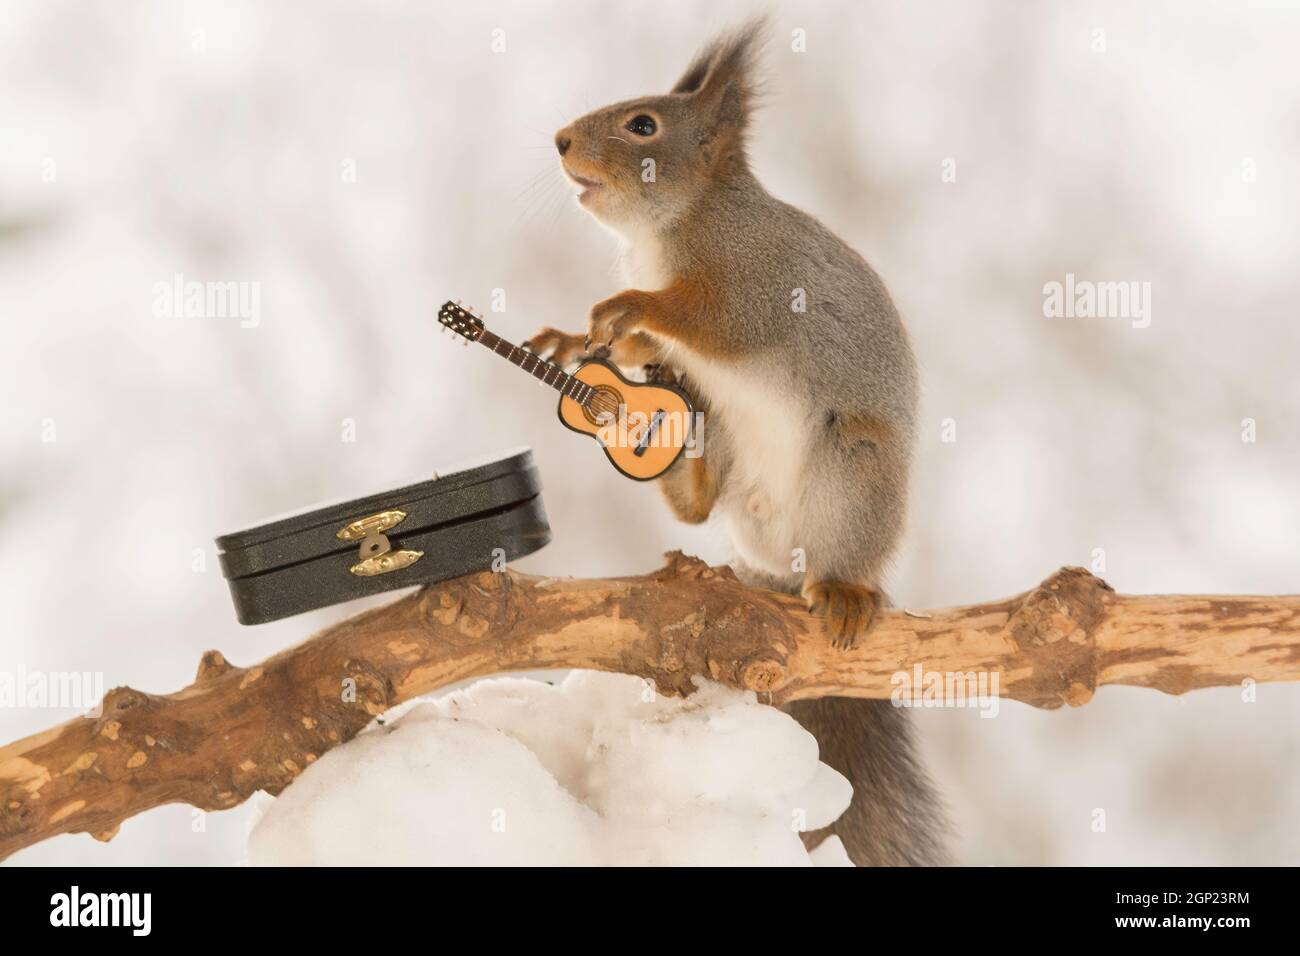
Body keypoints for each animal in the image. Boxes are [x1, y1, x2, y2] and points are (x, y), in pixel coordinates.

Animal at [524, 20, 951, 866]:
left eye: (644, 126)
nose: (559, 140)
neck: (674, 227)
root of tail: (785, 567)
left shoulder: (757, 286)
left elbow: (705, 319)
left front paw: (626, 305)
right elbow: (644, 349)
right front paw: (576, 341)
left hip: (852, 475)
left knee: (842, 560)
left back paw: (845, 591)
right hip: (722, 441)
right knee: (701, 503)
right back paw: (685, 484)